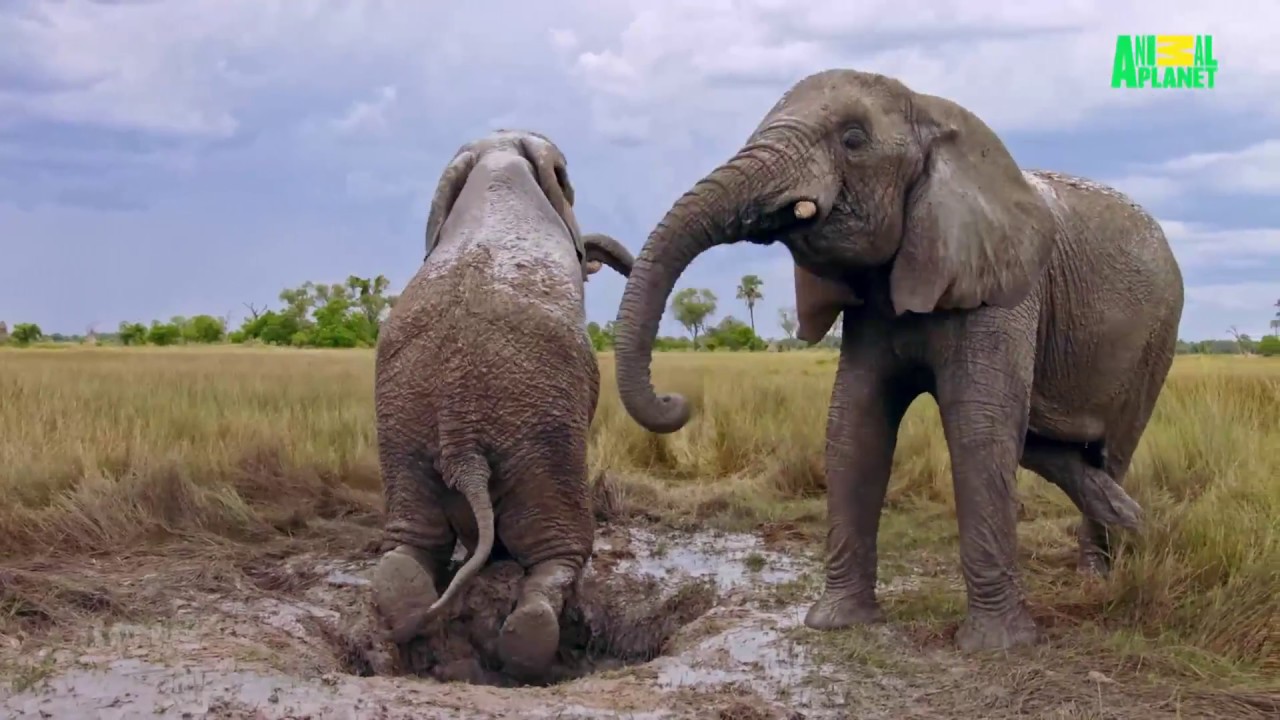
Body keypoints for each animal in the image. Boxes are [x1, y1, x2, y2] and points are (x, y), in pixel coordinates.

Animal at [370, 129, 634, 681]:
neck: (498, 161)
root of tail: (462, 441)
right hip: (541, 438)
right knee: (557, 551)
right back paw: (528, 648)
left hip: (403, 429)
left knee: (410, 543)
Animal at [609, 69, 1184, 652]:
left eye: (853, 139)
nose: (674, 401)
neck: (933, 114)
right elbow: (854, 422)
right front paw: (837, 622)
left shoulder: (1002, 292)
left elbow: (979, 430)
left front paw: (997, 647)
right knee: (1045, 442)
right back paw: (1125, 516)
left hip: (1158, 334)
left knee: (1111, 447)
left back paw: (1102, 568)